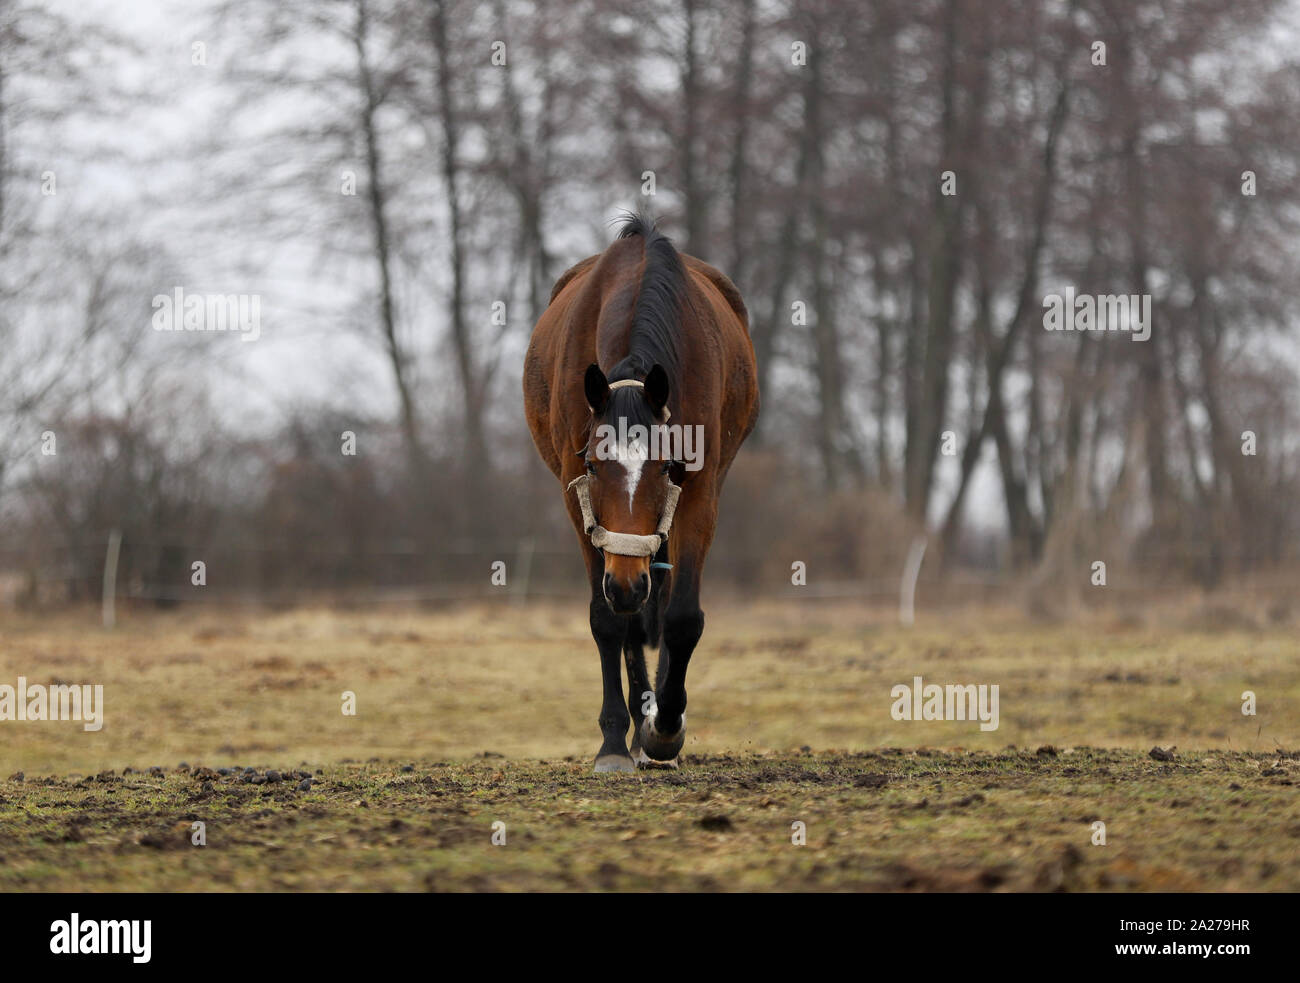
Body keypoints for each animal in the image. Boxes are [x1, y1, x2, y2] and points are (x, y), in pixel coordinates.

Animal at [523, 214, 759, 772]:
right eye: (592, 464)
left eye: (667, 466)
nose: (627, 584)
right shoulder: (577, 499)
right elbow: (609, 621)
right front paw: (614, 741)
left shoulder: (698, 491)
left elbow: (681, 616)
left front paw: (665, 729)